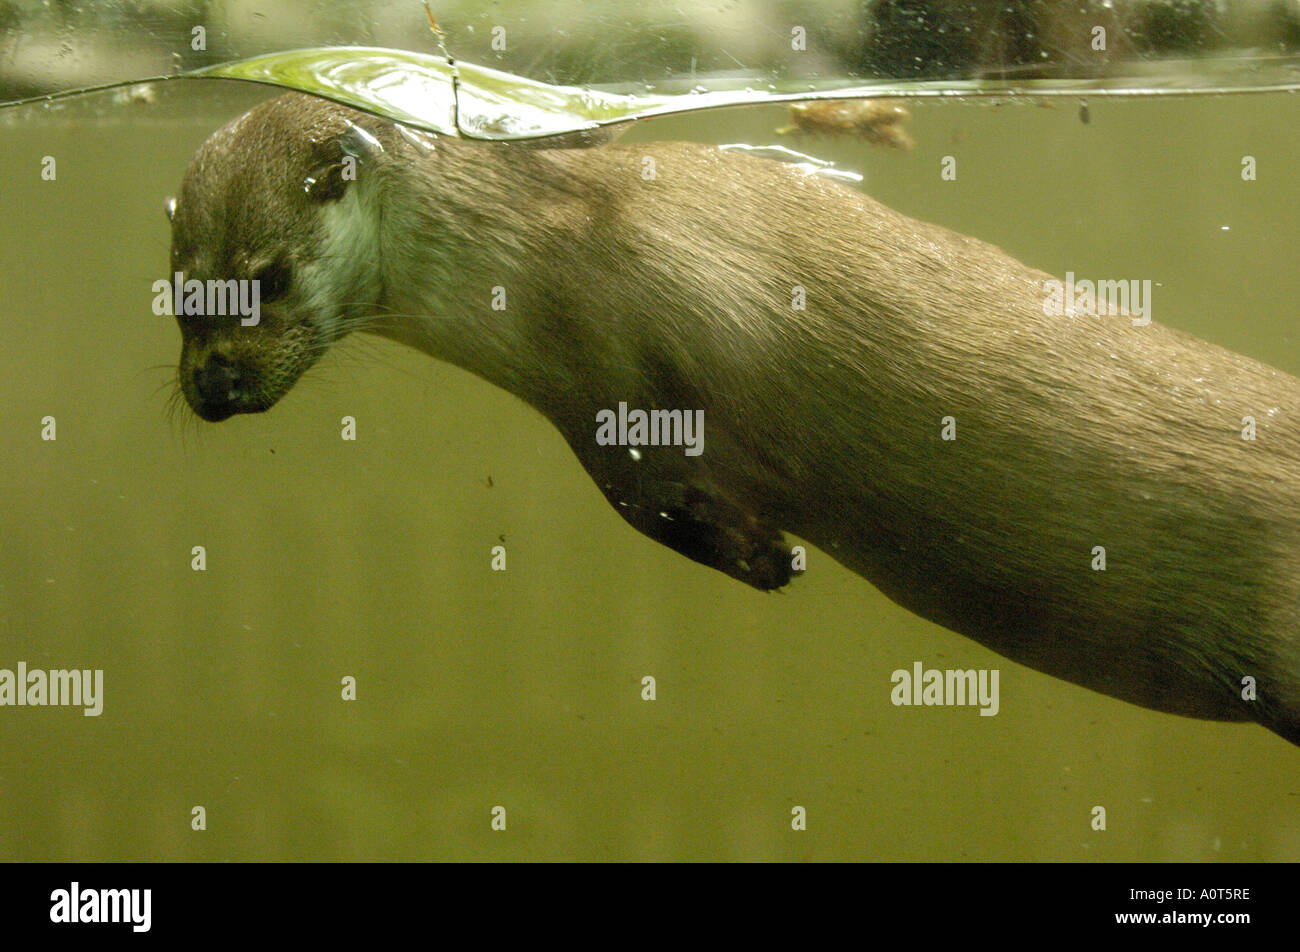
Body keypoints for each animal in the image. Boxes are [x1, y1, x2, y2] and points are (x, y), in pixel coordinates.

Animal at [167, 93, 1300, 746]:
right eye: (181, 298)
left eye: (264, 277)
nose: (211, 385)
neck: (537, 248)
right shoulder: (583, 406)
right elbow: (645, 499)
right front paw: (759, 550)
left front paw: (765, 549)